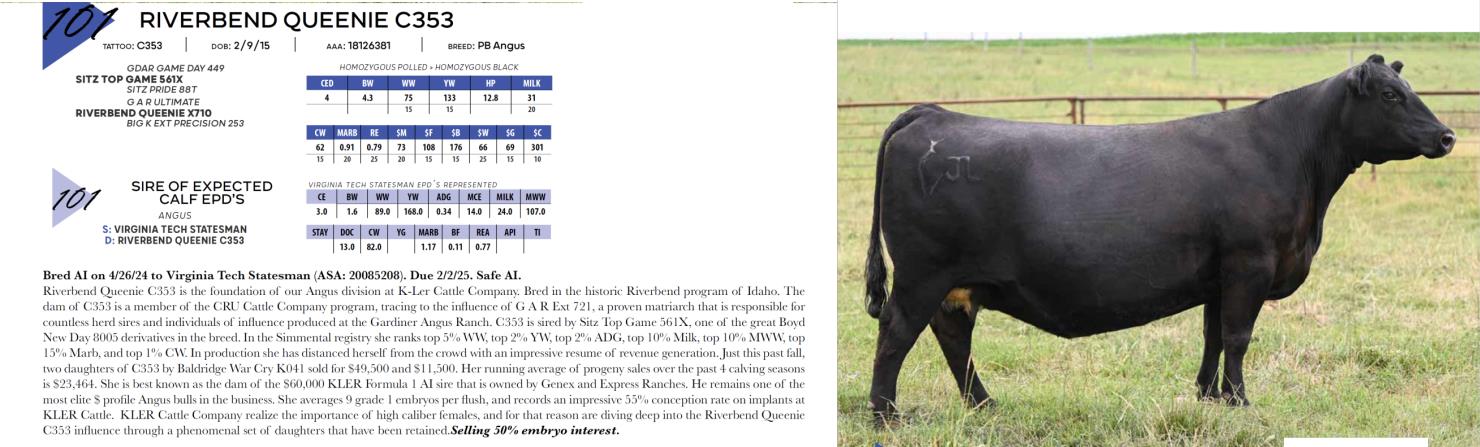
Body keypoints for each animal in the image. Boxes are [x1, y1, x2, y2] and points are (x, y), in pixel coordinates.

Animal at [863, 54, 1455, 423]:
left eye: (1410, 90)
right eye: (1390, 95)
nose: (1447, 135)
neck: (1293, 154)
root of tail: (932, 113)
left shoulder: (1220, 275)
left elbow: (1213, 336)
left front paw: (1209, 397)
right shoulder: (1249, 263)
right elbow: (1239, 336)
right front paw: (1242, 403)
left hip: (955, 284)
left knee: (952, 336)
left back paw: (985, 406)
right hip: (922, 275)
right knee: (898, 332)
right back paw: (886, 414)